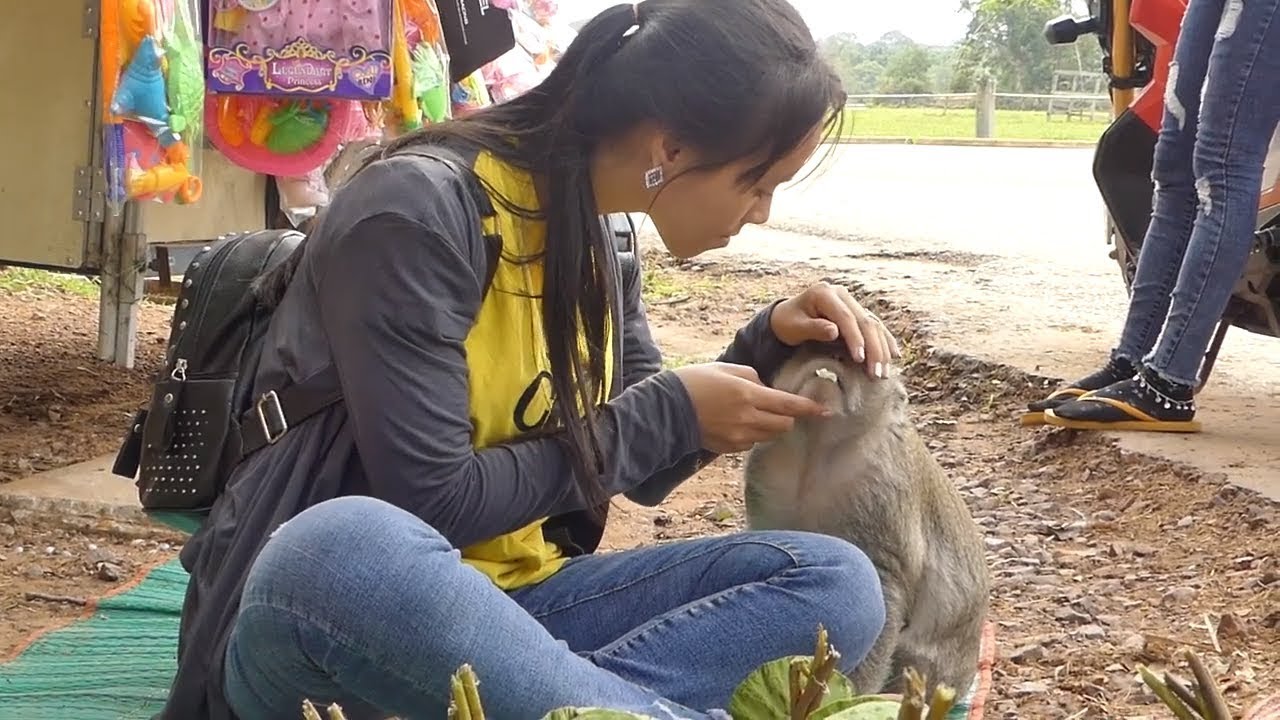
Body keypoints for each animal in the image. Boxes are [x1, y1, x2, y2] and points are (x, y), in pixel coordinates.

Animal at [742, 341, 990, 698]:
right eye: (815, 346)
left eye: (858, 361)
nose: (836, 353)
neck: (816, 447)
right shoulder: (766, 470)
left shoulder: (882, 488)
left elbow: (884, 585)